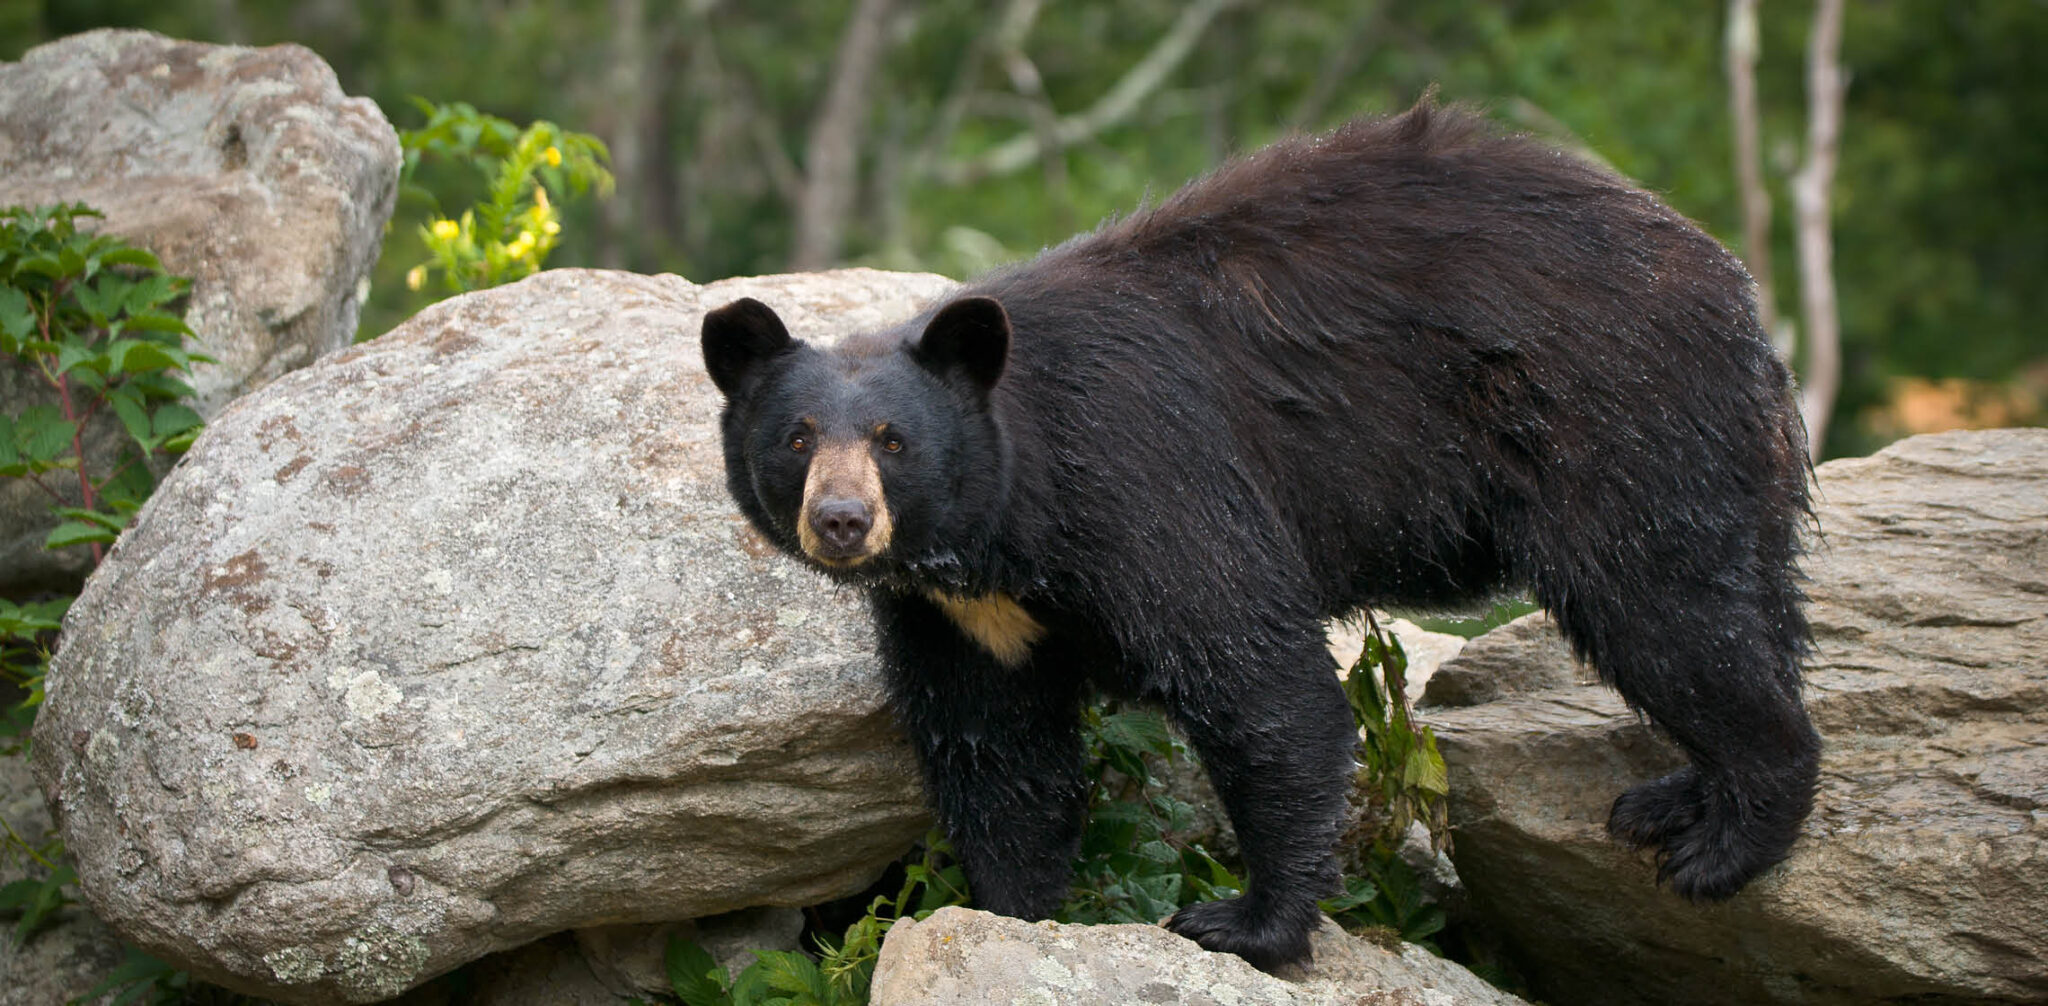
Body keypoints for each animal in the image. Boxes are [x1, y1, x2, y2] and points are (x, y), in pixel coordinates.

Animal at [700, 98, 1820, 972]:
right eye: (797, 436)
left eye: (893, 440)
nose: (842, 521)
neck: (1006, 526)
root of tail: (1732, 288)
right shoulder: (960, 614)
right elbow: (997, 751)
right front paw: (1013, 909)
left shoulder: (1146, 480)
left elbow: (1256, 680)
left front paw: (1245, 921)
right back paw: (1677, 798)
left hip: (1613, 420)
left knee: (1665, 610)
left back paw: (1725, 838)